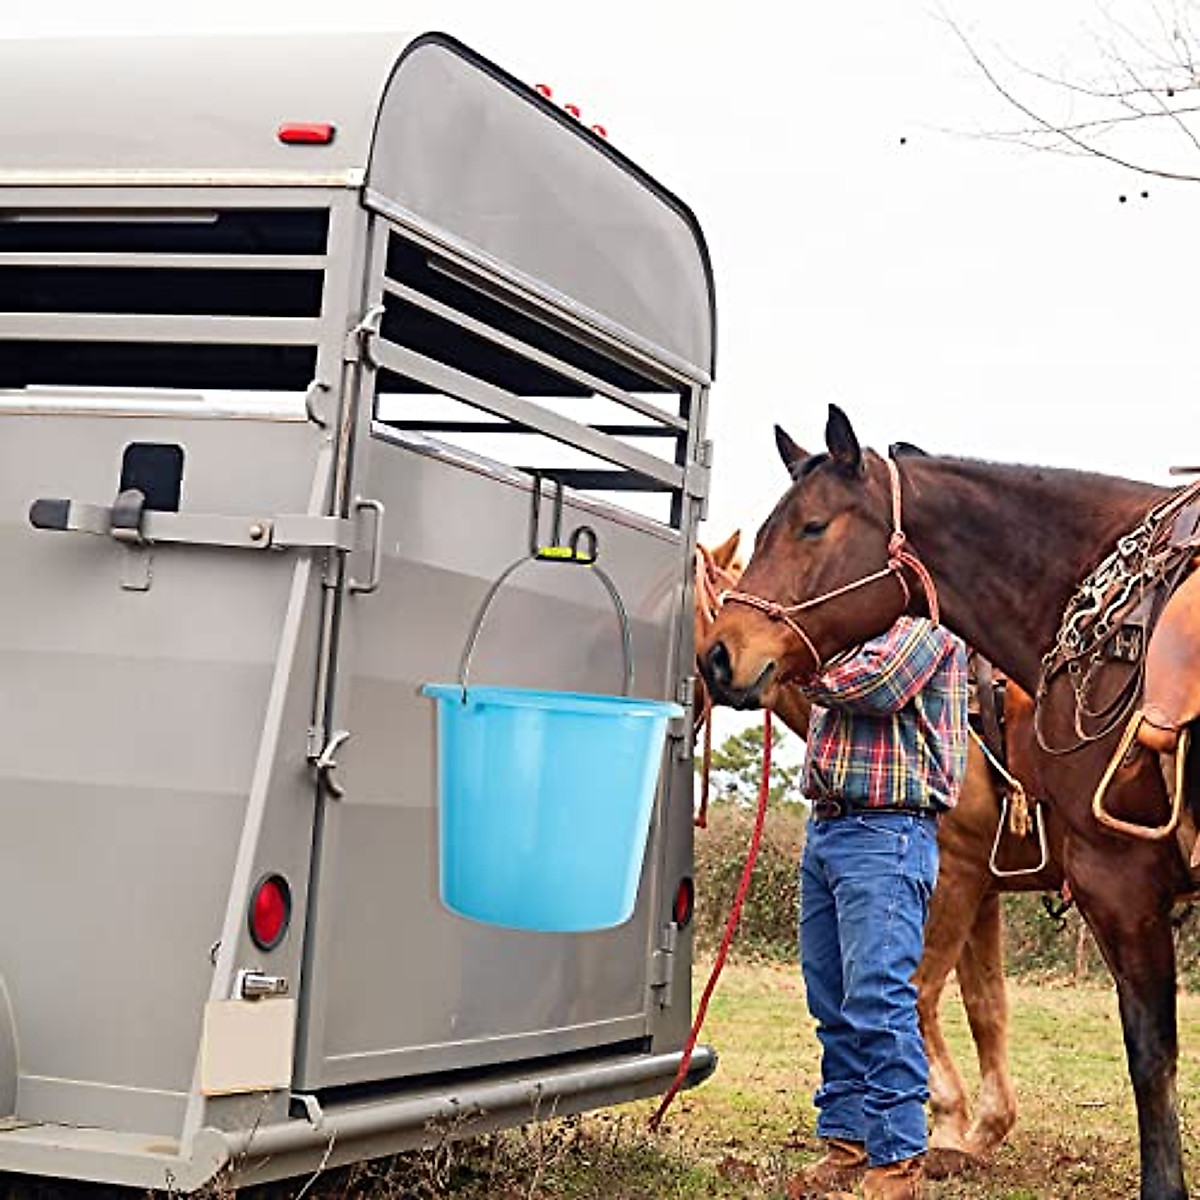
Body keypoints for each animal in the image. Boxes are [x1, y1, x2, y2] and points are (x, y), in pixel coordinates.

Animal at [695, 532, 1062, 1172]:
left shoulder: (953, 880)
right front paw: (985, 1129)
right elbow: (986, 1005)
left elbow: (918, 997)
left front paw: (946, 1128)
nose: (715, 661)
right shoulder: (983, 891)